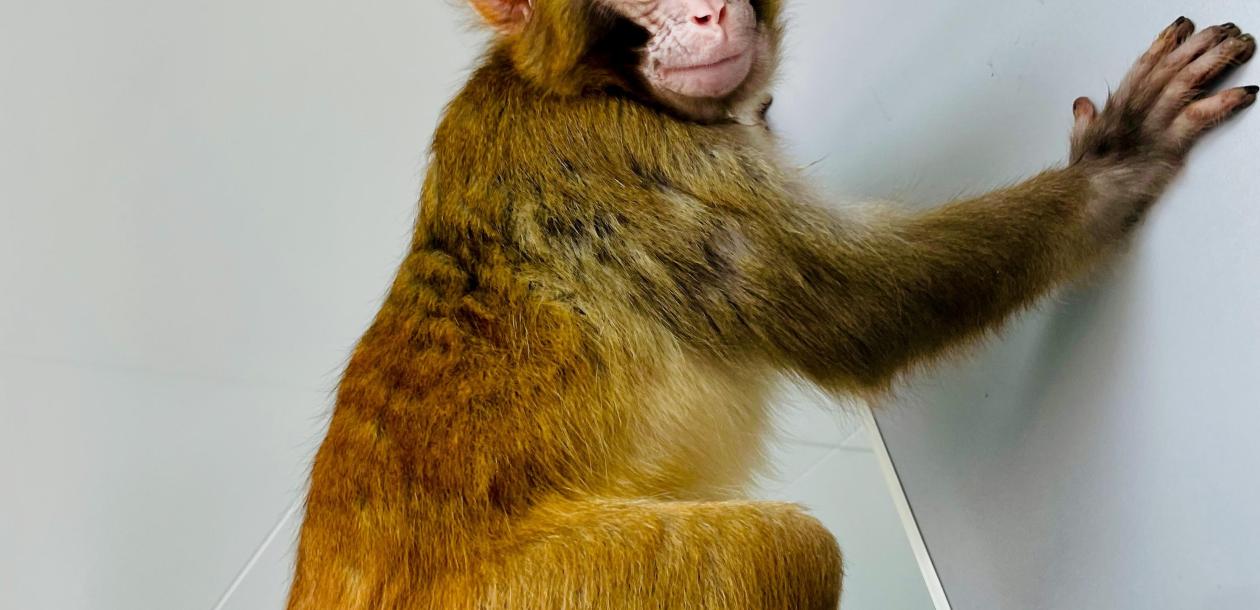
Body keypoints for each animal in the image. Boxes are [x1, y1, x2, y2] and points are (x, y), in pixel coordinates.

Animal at [286, 2, 1255, 608]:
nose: (708, 15)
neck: (585, 86)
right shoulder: (624, 153)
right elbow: (863, 317)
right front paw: (1115, 166)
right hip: (545, 593)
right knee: (785, 550)